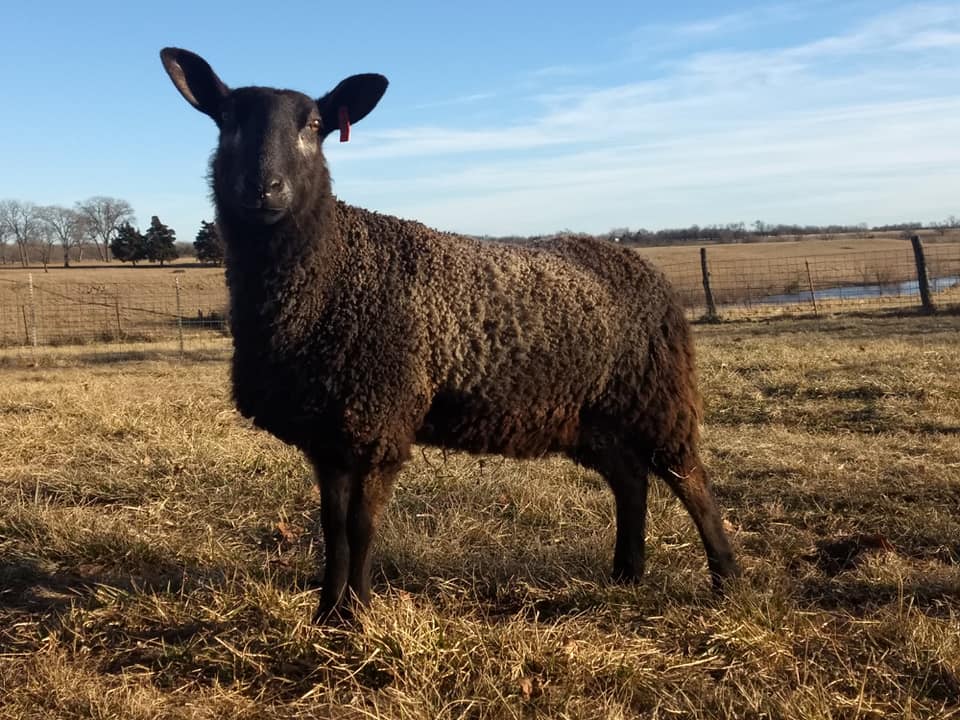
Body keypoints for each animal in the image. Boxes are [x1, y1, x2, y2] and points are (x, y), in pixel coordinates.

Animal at [159, 47, 740, 623]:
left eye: (316, 126)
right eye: (226, 119)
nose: (264, 188)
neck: (330, 274)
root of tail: (642, 266)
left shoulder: (380, 420)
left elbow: (361, 527)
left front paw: (360, 615)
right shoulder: (331, 432)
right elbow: (332, 529)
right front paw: (327, 614)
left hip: (657, 397)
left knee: (691, 481)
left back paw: (726, 580)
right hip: (590, 415)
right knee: (631, 481)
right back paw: (627, 573)